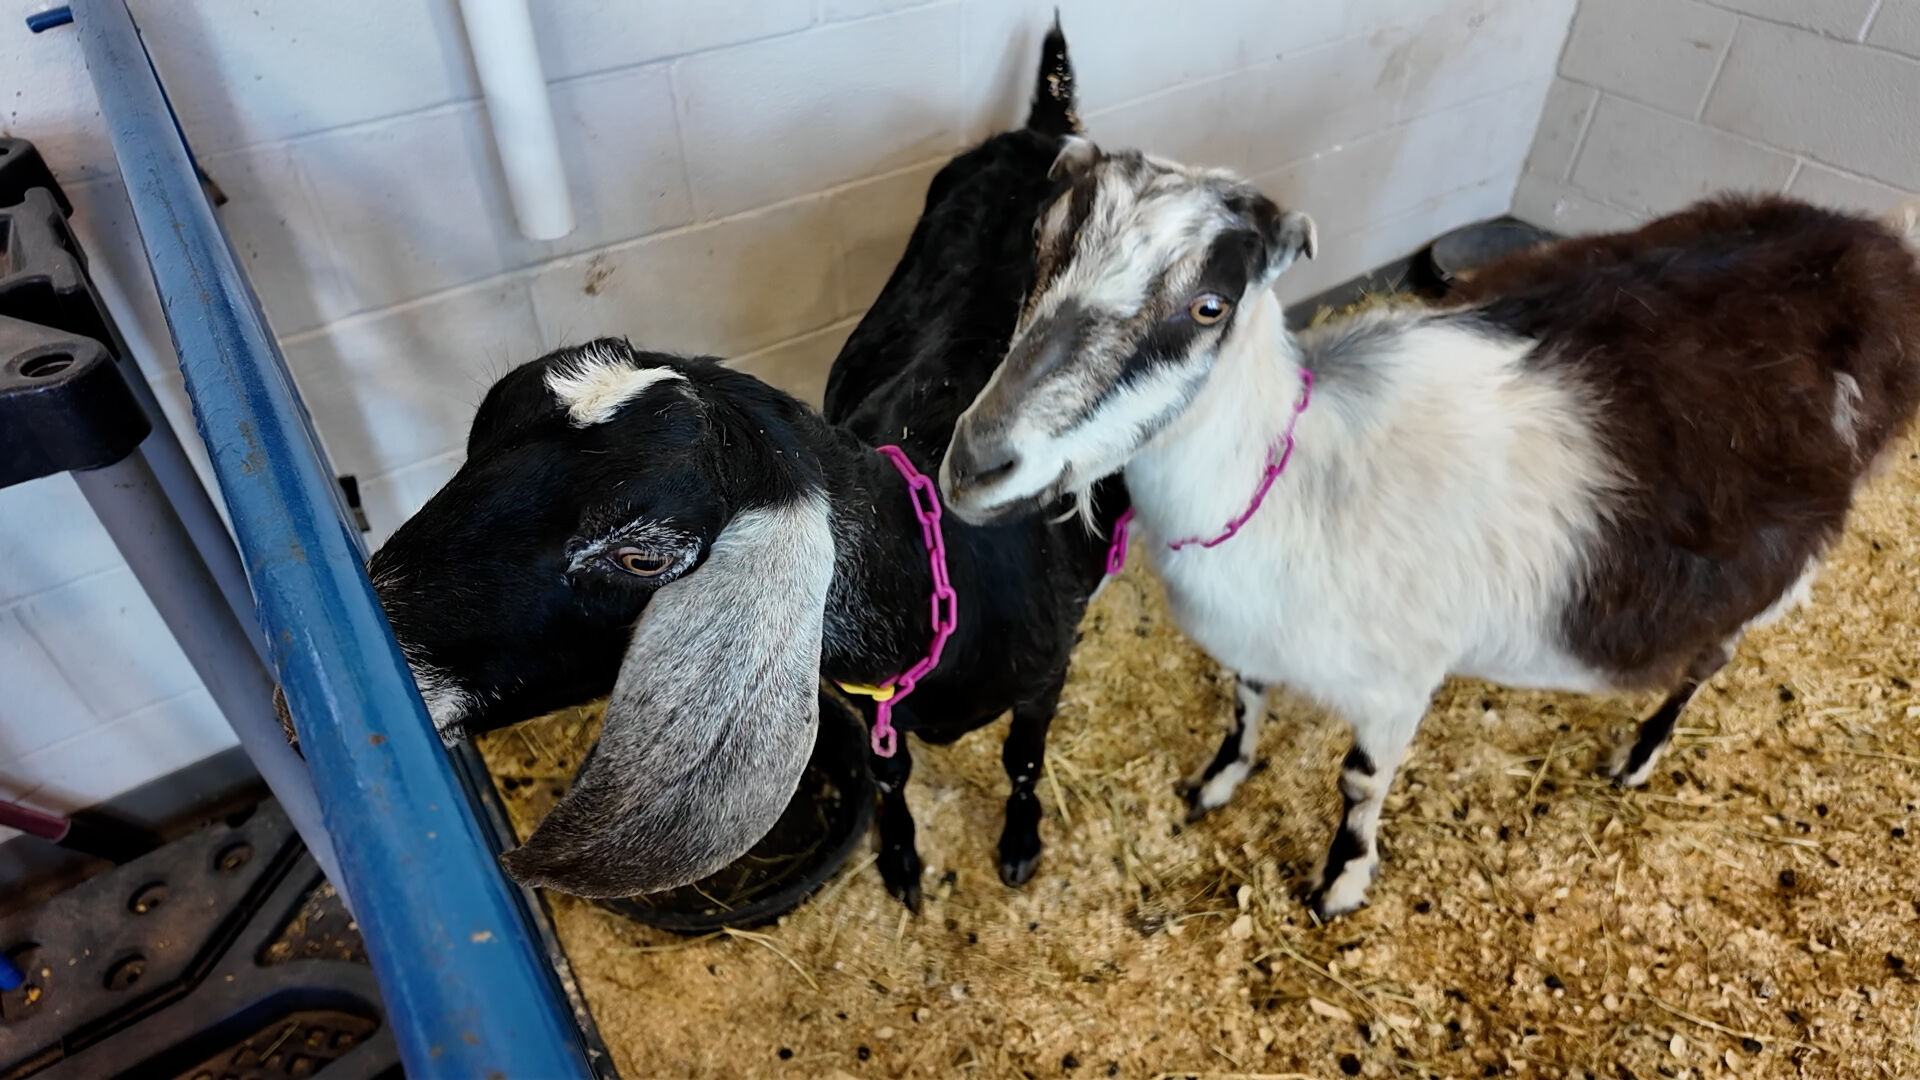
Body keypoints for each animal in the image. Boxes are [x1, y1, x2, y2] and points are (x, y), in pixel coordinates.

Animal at [366, 25, 1128, 909]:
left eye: (643, 556)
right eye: (481, 423)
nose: (384, 660)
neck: (949, 576)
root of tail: (1042, 133)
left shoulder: (1050, 670)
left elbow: (1023, 758)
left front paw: (1018, 846)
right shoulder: (870, 705)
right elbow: (890, 774)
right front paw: (901, 861)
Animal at [939, 137, 1920, 917]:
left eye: (1209, 305)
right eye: (1040, 247)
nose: (977, 462)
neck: (1293, 476)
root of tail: (1874, 245)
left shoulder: (1398, 683)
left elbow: (1358, 780)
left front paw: (1339, 885)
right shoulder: (1253, 640)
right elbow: (1246, 698)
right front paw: (1218, 780)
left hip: (1780, 560)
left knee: (1710, 659)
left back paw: (1638, 758)